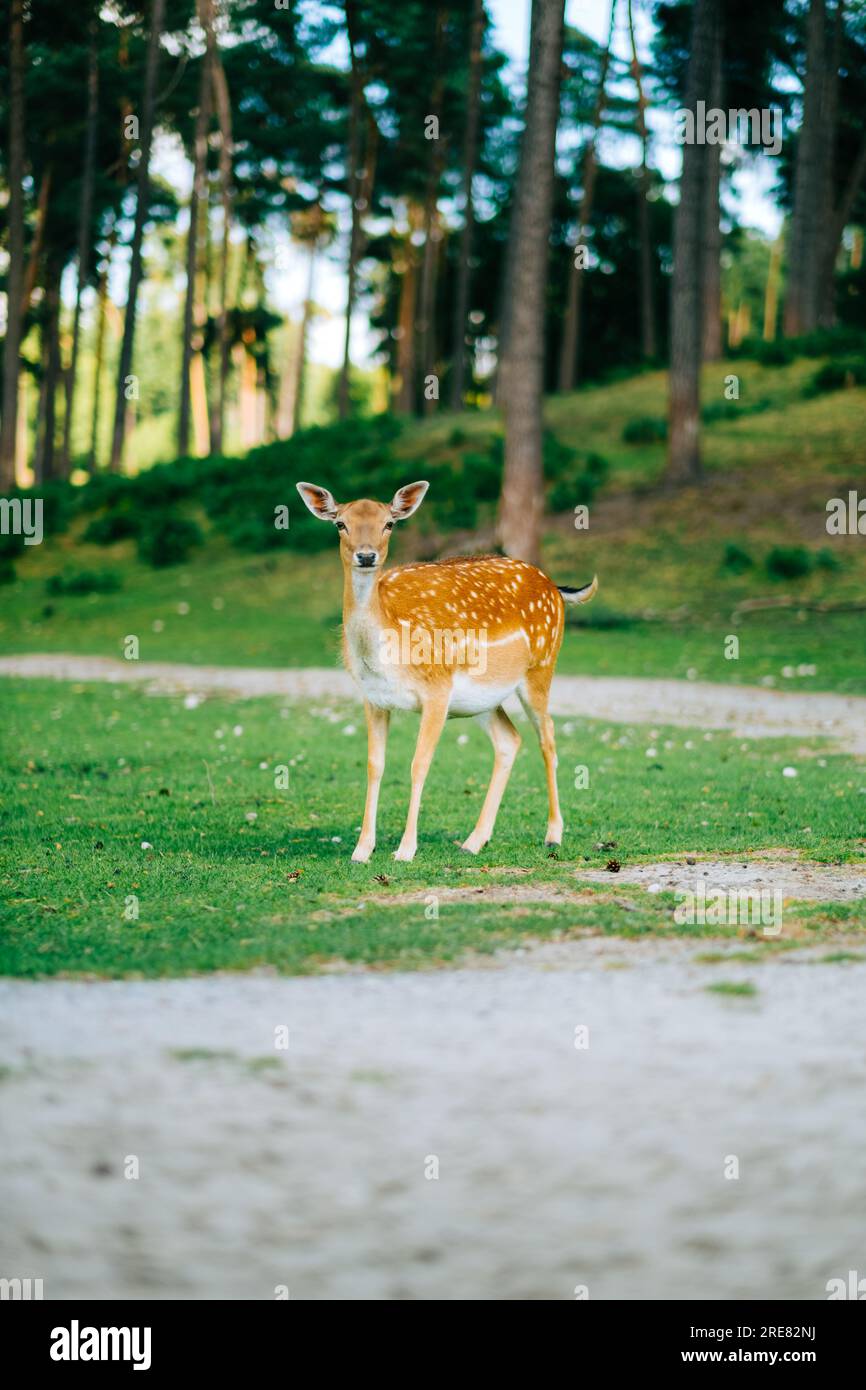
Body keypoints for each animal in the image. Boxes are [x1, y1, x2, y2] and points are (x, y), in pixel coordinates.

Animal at [296, 480, 597, 863]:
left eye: (388, 523)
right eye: (340, 524)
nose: (366, 556)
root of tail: (556, 588)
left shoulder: (436, 690)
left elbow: (418, 764)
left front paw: (405, 850)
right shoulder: (373, 698)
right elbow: (374, 765)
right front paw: (362, 849)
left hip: (541, 667)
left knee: (548, 737)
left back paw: (553, 835)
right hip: (482, 700)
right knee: (510, 740)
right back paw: (474, 840)